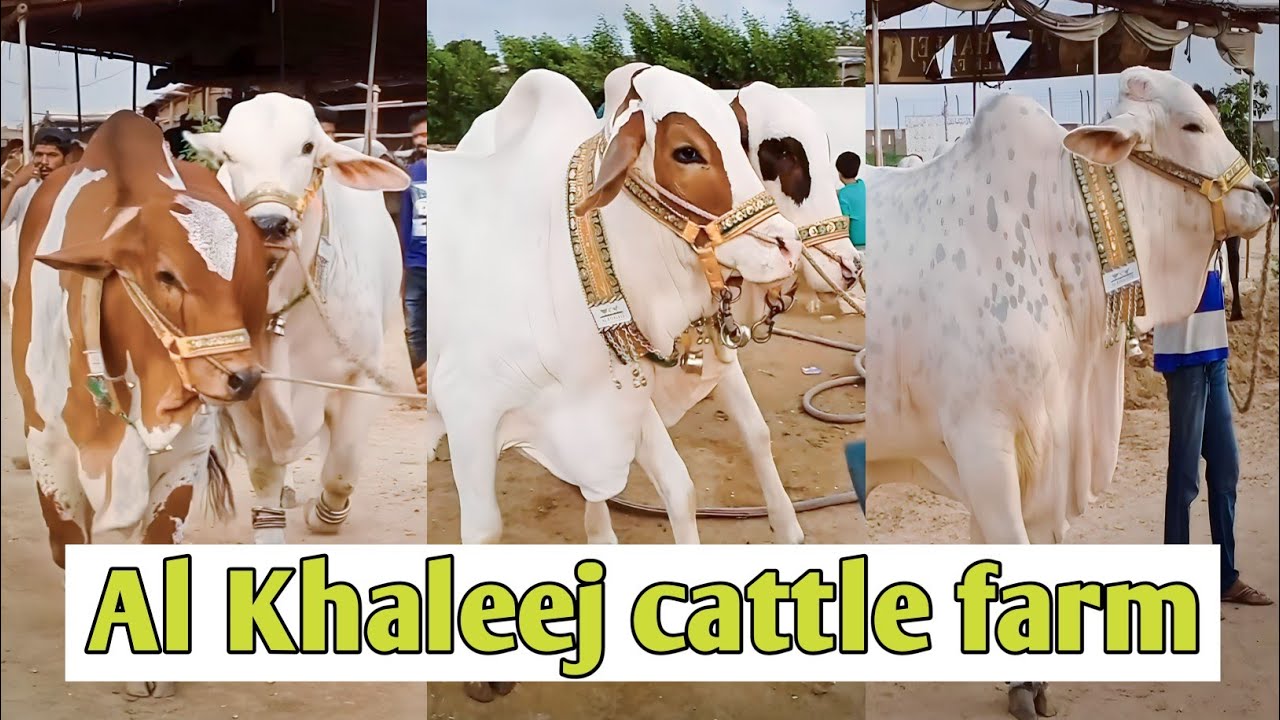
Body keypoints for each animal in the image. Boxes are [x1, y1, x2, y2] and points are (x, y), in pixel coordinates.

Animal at [8, 110, 269, 698]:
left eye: (250, 273)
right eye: (166, 274)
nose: (241, 377)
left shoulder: (185, 452)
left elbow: (157, 545)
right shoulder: (47, 447)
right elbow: (69, 546)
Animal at [183, 93, 411, 544]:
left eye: (307, 148)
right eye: (228, 155)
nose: (269, 224)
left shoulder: (360, 379)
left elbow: (341, 470)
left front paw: (324, 515)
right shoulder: (247, 389)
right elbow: (264, 473)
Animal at [427, 66, 801, 547]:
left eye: (740, 141)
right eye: (686, 152)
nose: (788, 246)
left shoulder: (624, 398)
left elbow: (680, 487)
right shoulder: (468, 412)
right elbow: (484, 532)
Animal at [856, 68, 1273, 717]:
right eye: (1191, 125)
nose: (1265, 194)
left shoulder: (1044, 445)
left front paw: (1028, 681)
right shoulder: (983, 443)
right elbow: (1012, 555)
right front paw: (1024, 687)